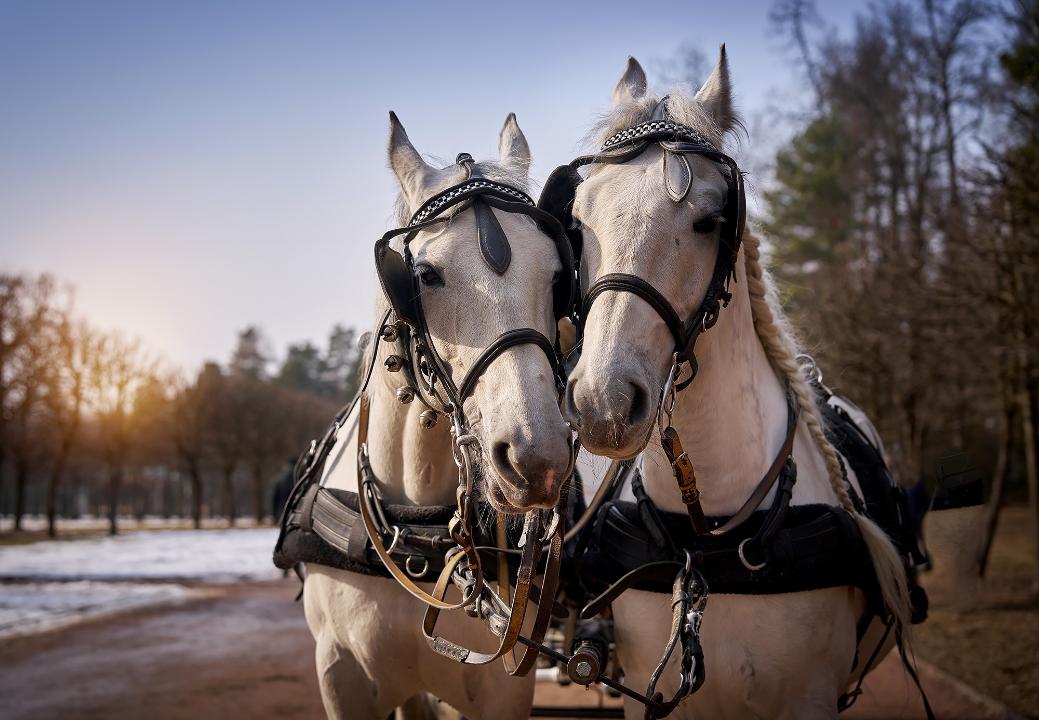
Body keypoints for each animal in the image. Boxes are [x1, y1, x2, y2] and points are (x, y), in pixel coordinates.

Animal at [303, 113, 573, 718]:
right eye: (424, 275)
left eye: (555, 276)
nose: (537, 458)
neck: (418, 532)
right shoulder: (339, 674)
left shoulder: (502, 688)